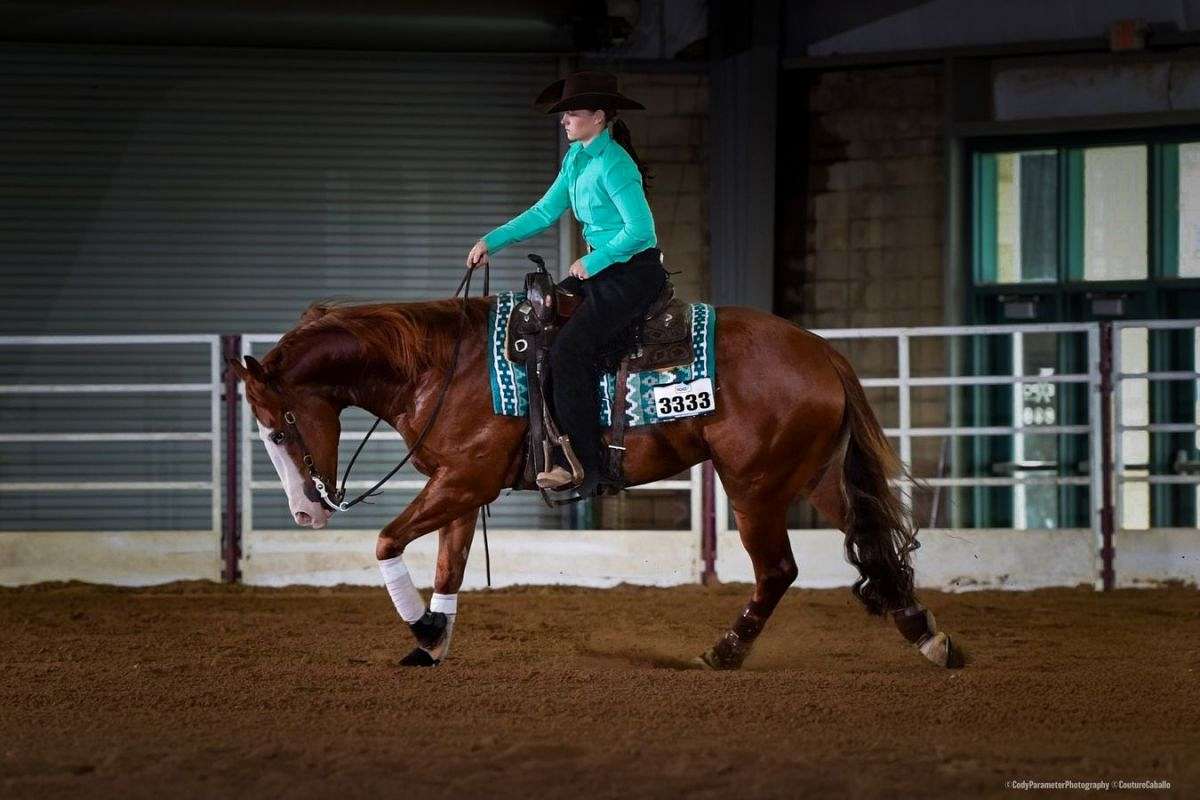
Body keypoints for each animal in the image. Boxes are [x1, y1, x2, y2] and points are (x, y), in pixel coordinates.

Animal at [228, 293, 964, 670]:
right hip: (814, 477)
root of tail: (821, 350)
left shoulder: (463, 481)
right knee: (872, 543)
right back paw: (929, 636)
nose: (306, 514)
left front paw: (425, 632)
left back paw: (726, 650)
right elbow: (448, 567)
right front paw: (434, 640)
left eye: (276, 429)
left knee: (778, 569)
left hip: (754, 486)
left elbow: (385, 542)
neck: (440, 364)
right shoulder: (460, 487)